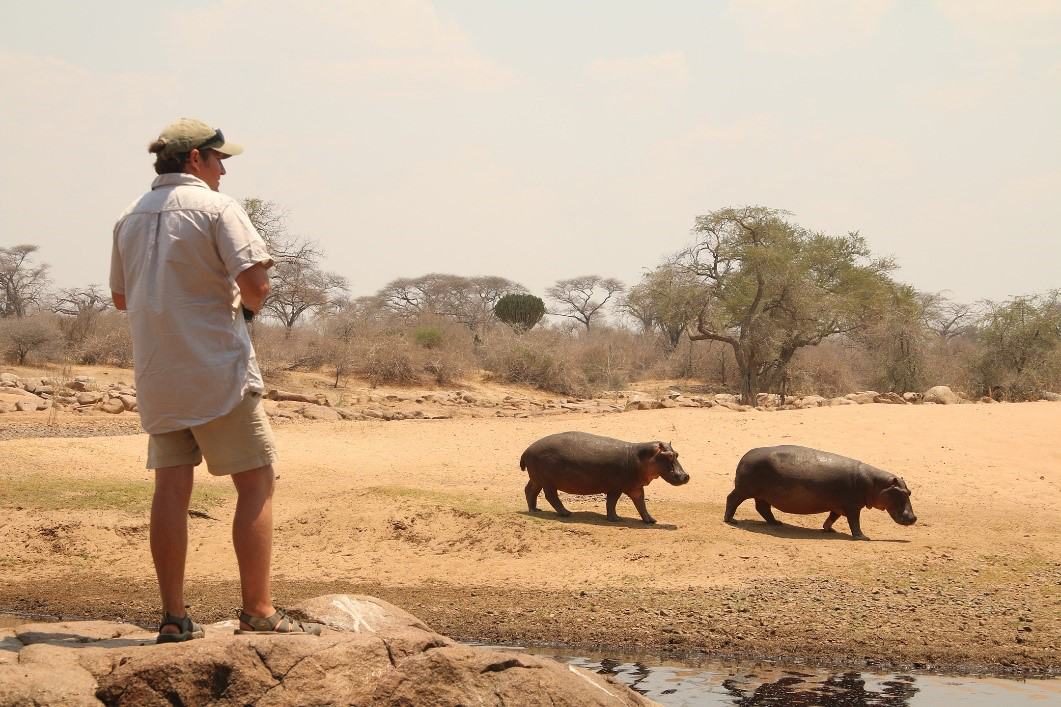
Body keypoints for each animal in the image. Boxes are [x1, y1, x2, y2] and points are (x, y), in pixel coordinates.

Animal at [520, 431, 690, 524]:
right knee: (551, 496)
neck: (641, 457)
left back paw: (535, 510)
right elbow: (612, 502)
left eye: (676, 453)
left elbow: (641, 503)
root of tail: (527, 450)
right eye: (668, 455)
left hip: (536, 478)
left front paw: (651, 520)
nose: (686, 475)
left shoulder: (635, 487)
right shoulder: (616, 487)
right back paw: (566, 513)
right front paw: (616, 519)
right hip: (547, 481)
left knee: (530, 490)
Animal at [724, 445, 917, 540]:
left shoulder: (839, 506)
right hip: (744, 490)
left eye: (909, 491)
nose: (913, 518)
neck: (876, 483)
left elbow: (832, 517)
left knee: (763, 508)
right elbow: (855, 523)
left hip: (762, 495)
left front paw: (828, 530)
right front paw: (863, 537)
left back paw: (776, 523)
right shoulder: (853, 507)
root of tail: (744, 456)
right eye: (900, 493)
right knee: (731, 499)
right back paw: (731, 520)